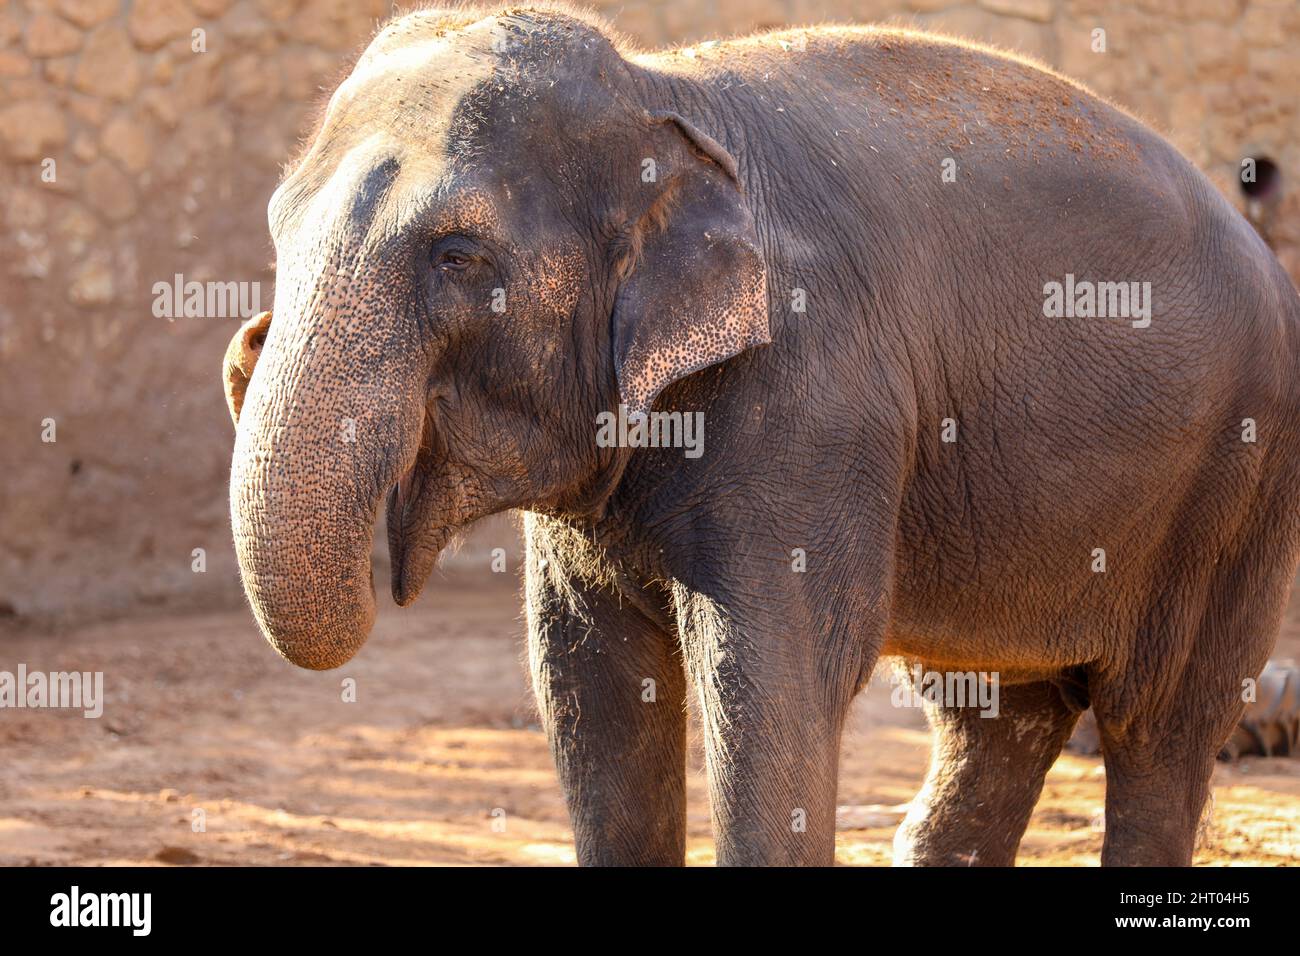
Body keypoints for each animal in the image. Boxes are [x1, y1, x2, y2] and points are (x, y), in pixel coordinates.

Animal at [223, 5, 1300, 866]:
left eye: (457, 255)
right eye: (274, 224)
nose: (245, 345)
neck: (662, 86)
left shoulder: (812, 395)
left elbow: (770, 677)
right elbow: (583, 678)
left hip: (1237, 492)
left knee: (1159, 723)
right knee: (992, 715)